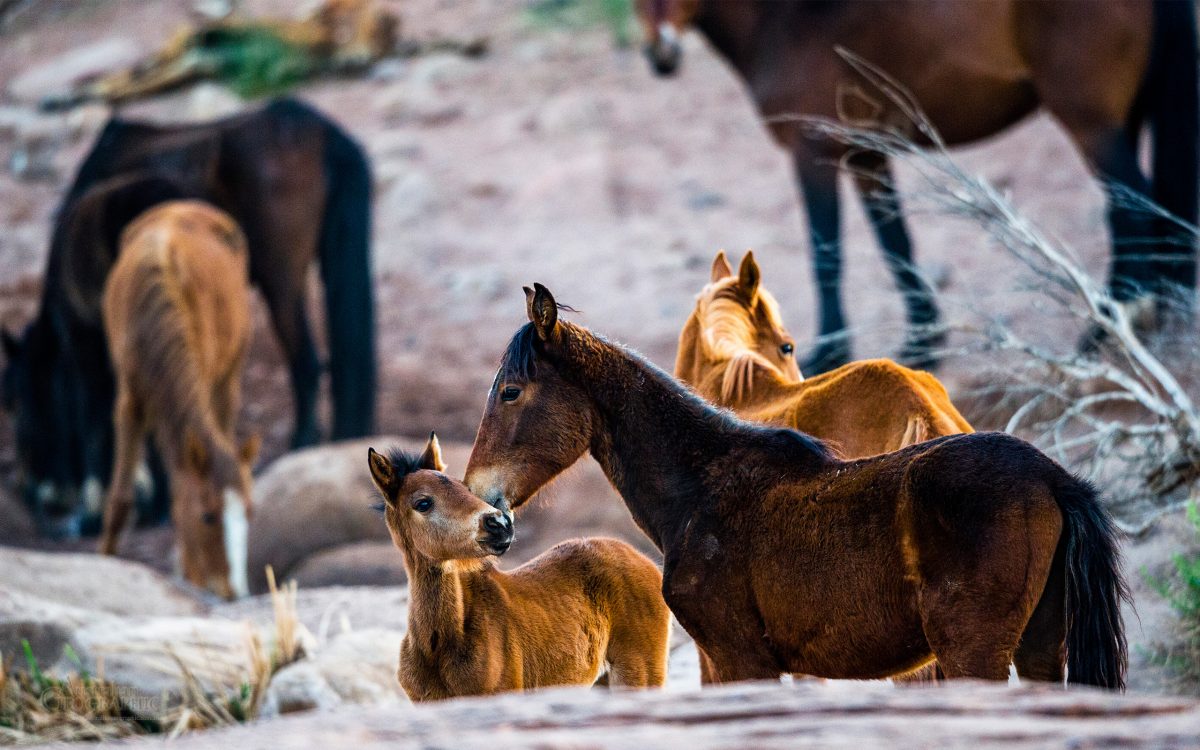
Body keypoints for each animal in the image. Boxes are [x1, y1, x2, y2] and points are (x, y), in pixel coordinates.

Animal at [2, 97, 374, 536]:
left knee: (305, 363)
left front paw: (104, 509)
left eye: (15, 402)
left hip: (279, 276)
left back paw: (296, 451)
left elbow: (93, 414)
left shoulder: (85, 340)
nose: (30, 492)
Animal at [98, 201, 259, 600]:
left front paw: (191, 576)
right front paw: (103, 562)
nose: (233, 592)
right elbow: (121, 500)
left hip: (227, 377)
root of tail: (183, 206)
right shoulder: (130, 399)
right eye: (208, 516)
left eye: (250, 514)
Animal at [367, 434, 670, 700]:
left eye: (465, 489)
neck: (442, 645)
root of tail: (648, 563)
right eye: (423, 503)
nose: (499, 524)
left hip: (640, 674)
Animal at [464, 284, 1130, 689]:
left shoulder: (741, 660)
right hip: (1038, 646)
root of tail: (1053, 478)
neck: (703, 488)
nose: (485, 506)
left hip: (975, 653)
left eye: (511, 391)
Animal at [635, 0, 1199, 372]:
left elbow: (826, 254)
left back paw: (1106, 332)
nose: (661, 55)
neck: (785, 16)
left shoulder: (813, 154)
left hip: (1091, 123)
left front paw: (826, 353)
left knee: (1136, 211)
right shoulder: (867, 155)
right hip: (1122, 119)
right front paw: (923, 342)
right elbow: (896, 244)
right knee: (1128, 215)